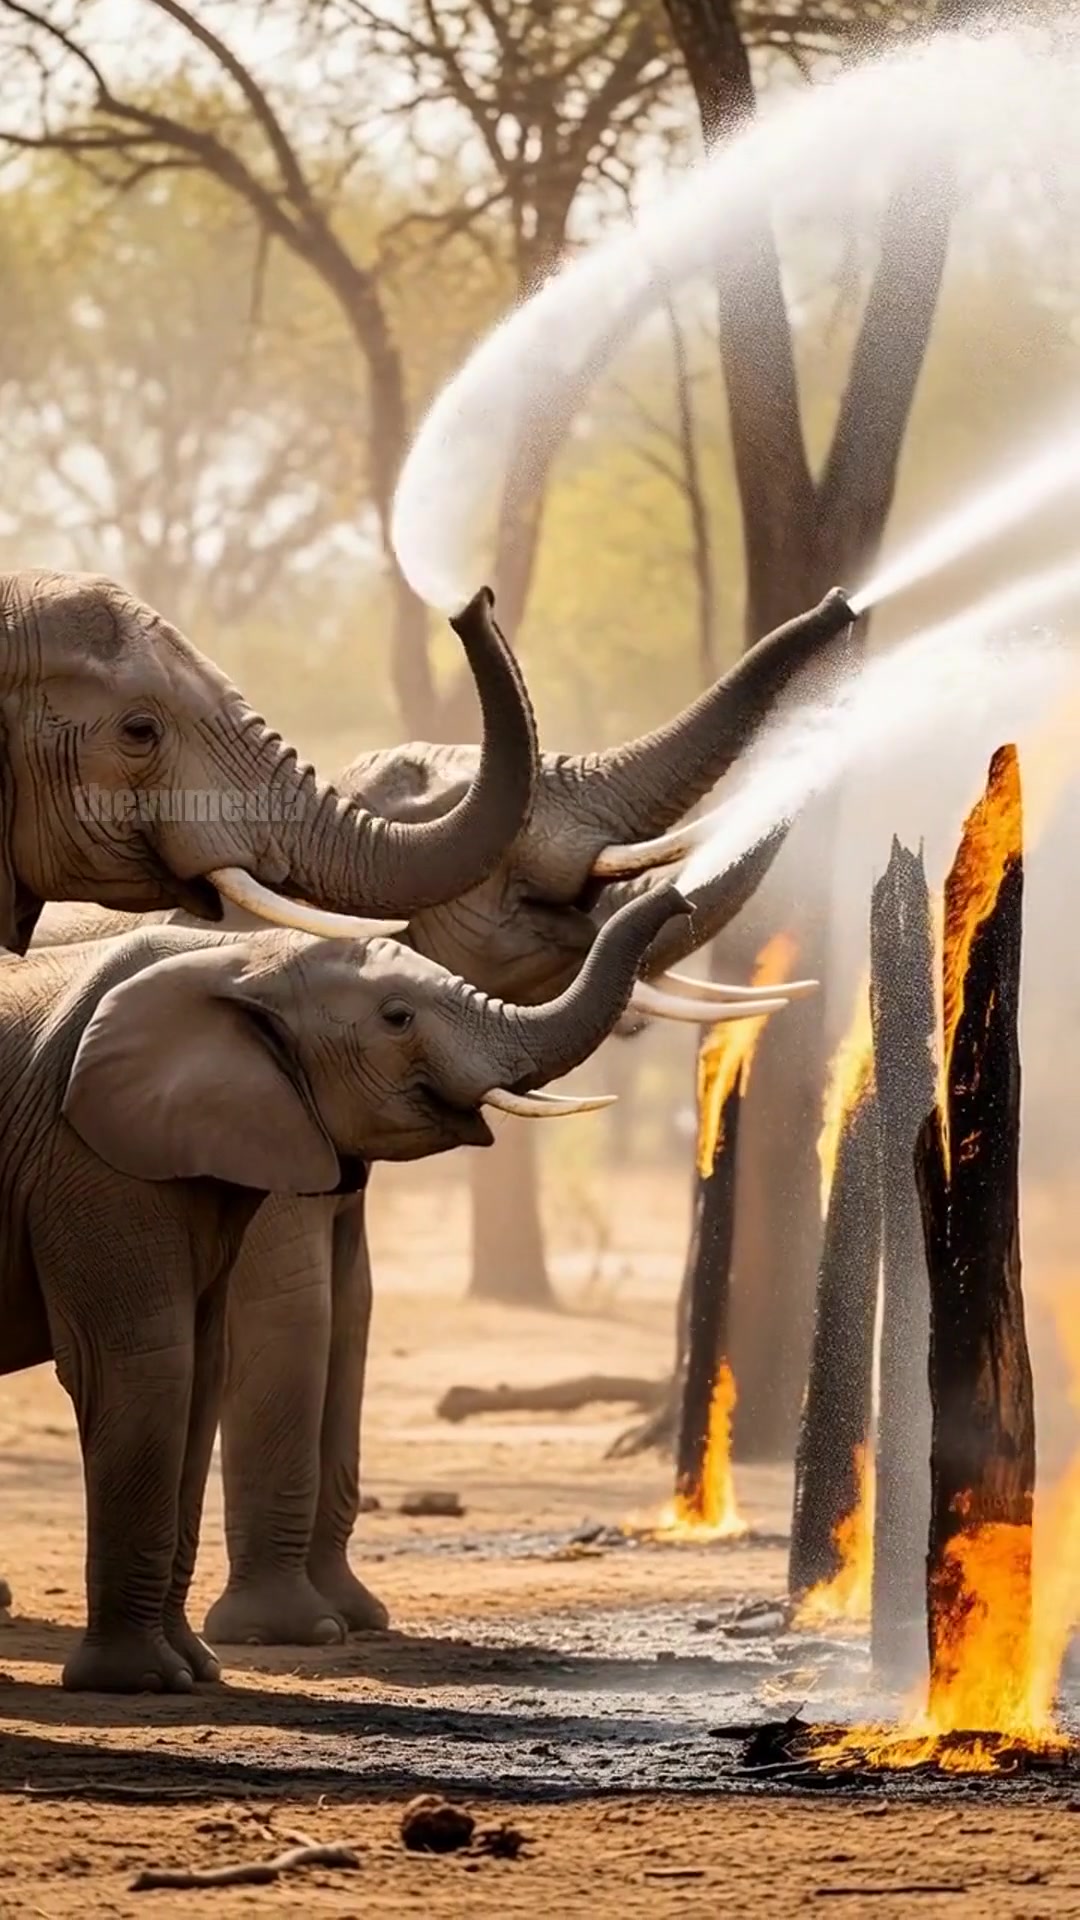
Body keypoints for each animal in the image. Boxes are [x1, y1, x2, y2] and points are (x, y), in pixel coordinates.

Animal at [1, 882, 686, 1692]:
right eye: (396, 1017)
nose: (674, 899)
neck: (241, 959)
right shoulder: (91, 1158)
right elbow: (142, 1368)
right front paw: (144, 1682)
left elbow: (203, 1373)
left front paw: (199, 1671)